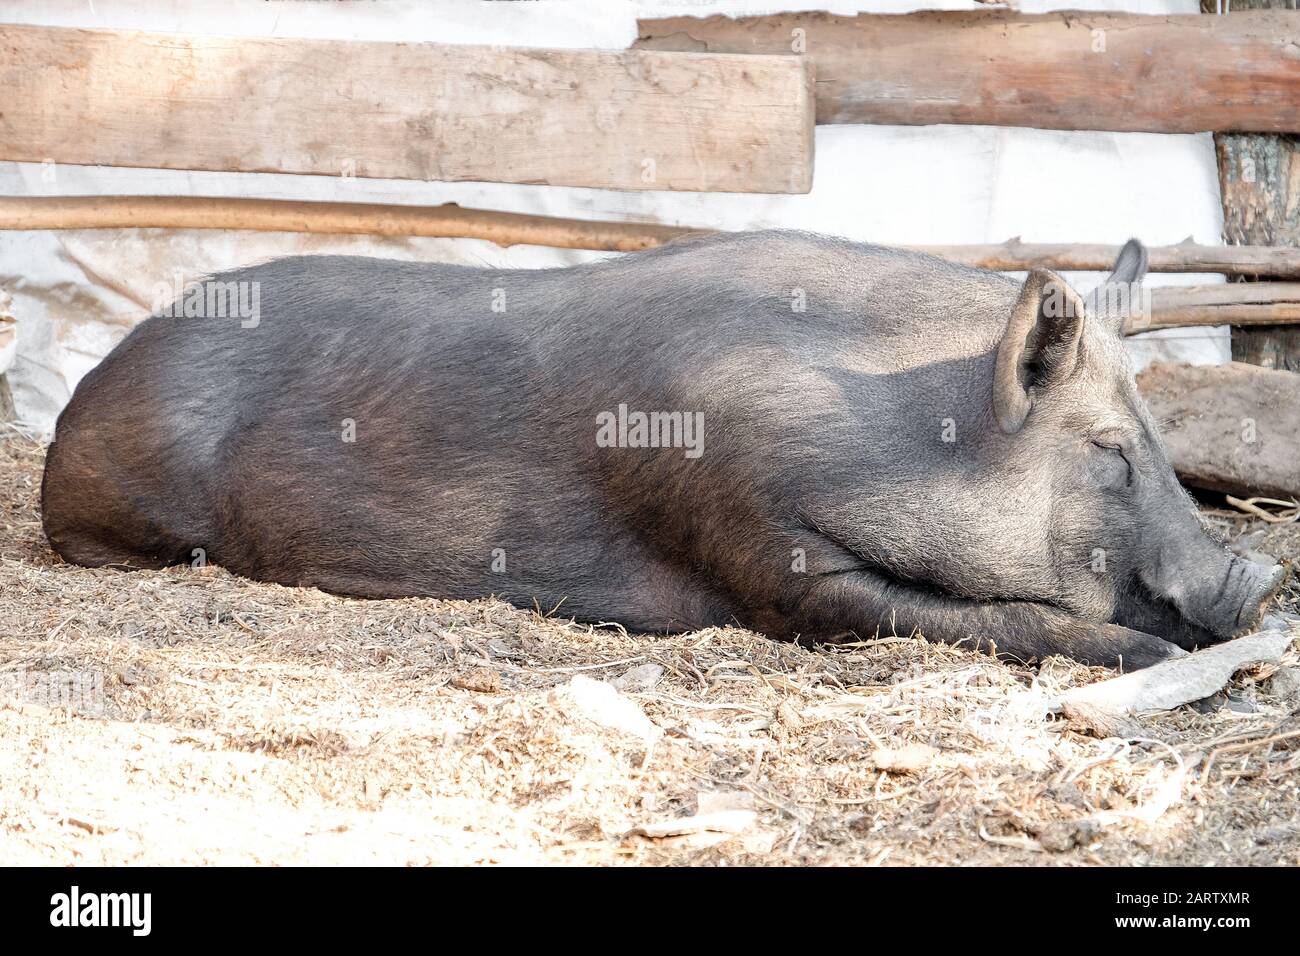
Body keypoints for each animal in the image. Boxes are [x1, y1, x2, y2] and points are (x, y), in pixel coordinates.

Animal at [40, 231, 1286, 669]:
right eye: (1110, 450)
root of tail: (97, 375)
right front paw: (1146, 654)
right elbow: (997, 617)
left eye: (1156, 435)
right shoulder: (758, 541)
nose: (1259, 579)